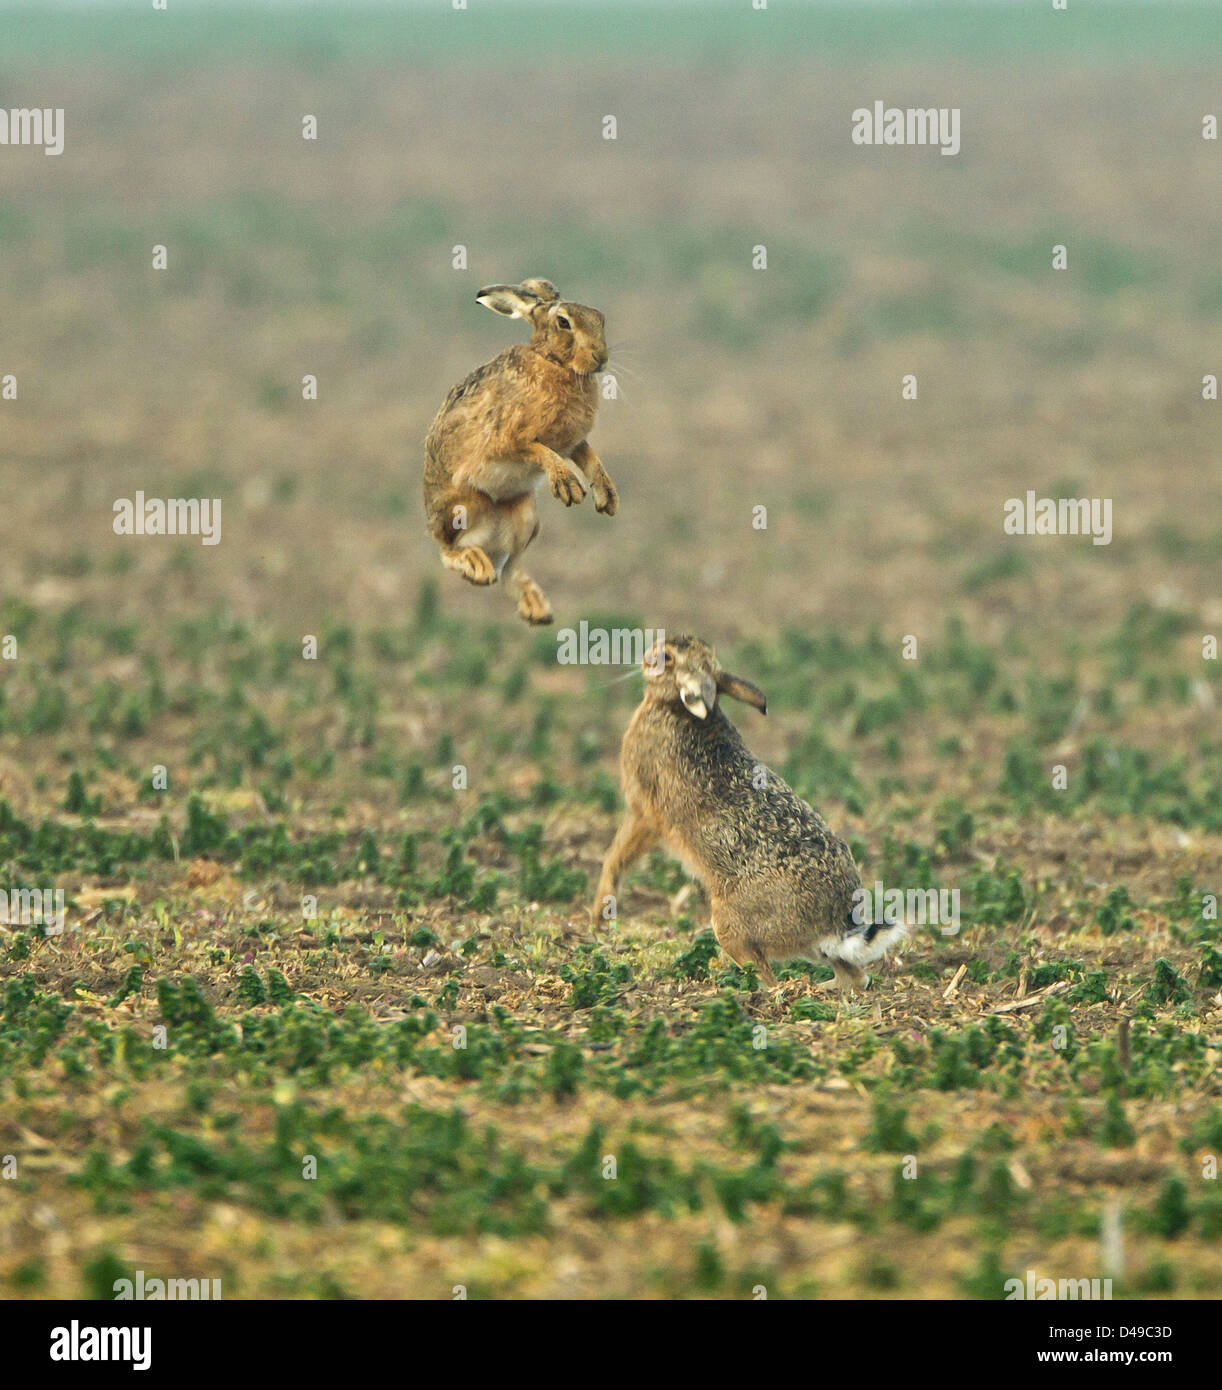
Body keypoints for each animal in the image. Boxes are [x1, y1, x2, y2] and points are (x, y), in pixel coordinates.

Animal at [423, 277, 617, 625]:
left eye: (600, 317)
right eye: (563, 322)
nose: (601, 357)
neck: (553, 362)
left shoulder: (574, 443)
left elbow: (589, 457)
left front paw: (606, 496)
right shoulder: (510, 440)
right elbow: (539, 449)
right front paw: (567, 486)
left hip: (525, 517)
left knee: (510, 569)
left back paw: (536, 608)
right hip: (463, 507)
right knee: (448, 552)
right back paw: (475, 566)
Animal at [593, 635, 906, 991]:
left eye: (668, 658)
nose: (648, 655)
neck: (674, 708)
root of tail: (831, 921)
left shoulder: (644, 812)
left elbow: (616, 856)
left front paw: (598, 914)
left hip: (729, 925)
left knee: (764, 975)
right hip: (816, 948)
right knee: (852, 975)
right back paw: (821, 989)